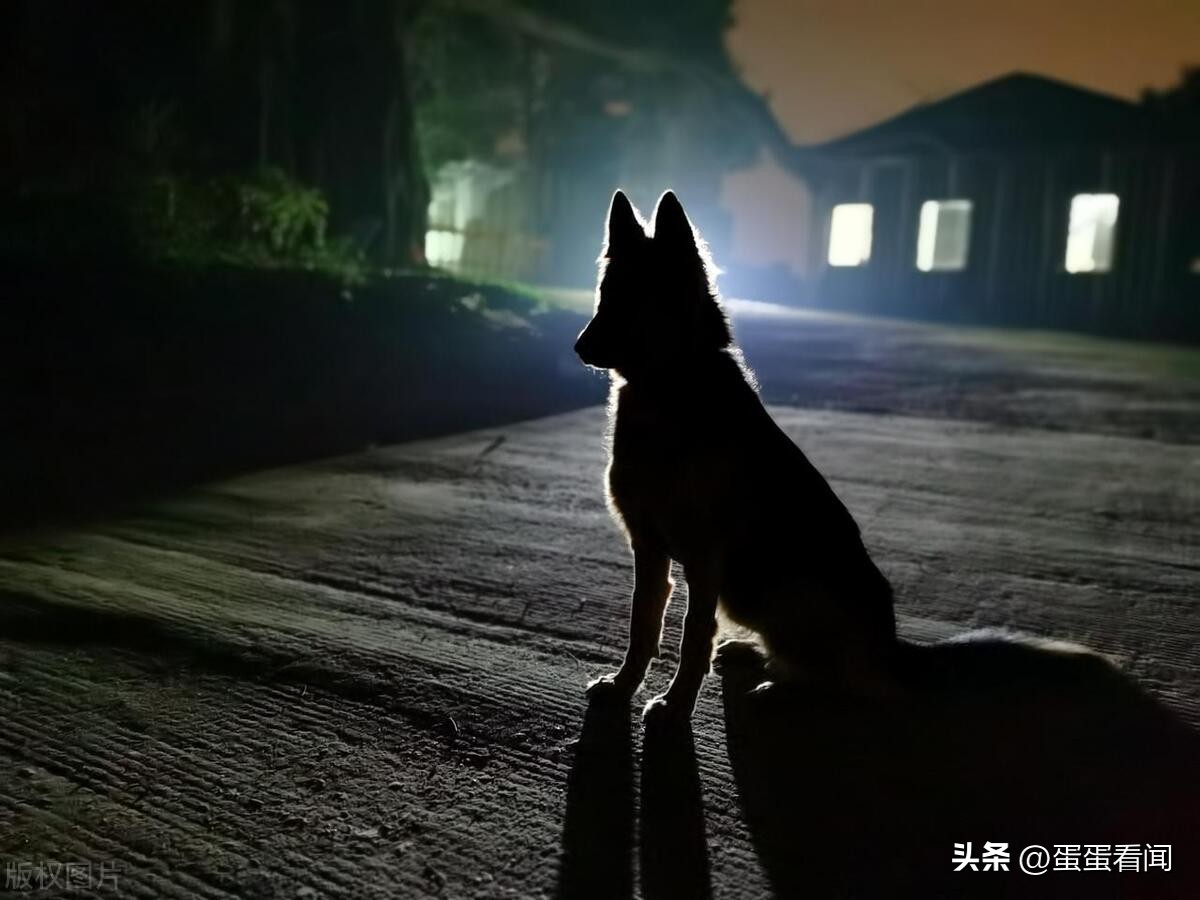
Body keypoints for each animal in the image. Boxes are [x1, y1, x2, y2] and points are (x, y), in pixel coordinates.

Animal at [574, 190, 898, 723]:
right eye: (605, 294)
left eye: (633, 298)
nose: (579, 348)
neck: (669, 387)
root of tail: (892, 651)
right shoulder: (650, 548)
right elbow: (642, 626)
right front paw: (623, 688)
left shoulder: (703, 559)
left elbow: (693, 634)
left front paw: (675, 705)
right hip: (747, 596)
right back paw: (753, 656)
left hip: (787, 584)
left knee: (841, 683)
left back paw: (782, 688)